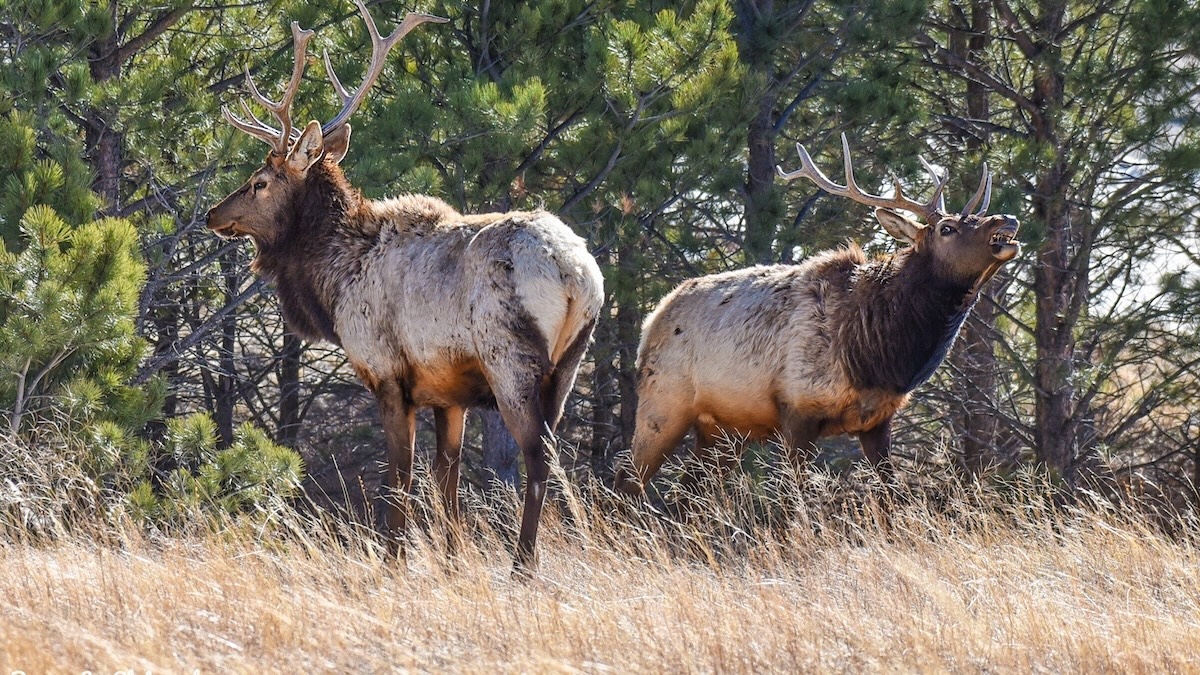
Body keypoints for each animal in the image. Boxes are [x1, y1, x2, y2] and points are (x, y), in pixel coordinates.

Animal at [205, 1, 604, 567]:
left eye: (259, 183)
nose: (214, 214)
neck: (333, 279)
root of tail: (576, 273)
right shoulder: (450, 393)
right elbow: (446, 483)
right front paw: (453, 559)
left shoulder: (388, 373)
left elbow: (399, 479)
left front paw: (394, 559)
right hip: (570, 362)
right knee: (551, 451)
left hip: (511, 360)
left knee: (536, 458)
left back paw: (523, 564)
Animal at [614, 134, 1020, 497]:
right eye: (947, 228)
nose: (1008, 218)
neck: (880, 358)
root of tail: (652, 321)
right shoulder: (799, 409)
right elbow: (798, 500)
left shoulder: (878, 420)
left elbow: (891, 495)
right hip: (663, 404)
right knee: (626, 483)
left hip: (723, 429)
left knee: (687, 495)